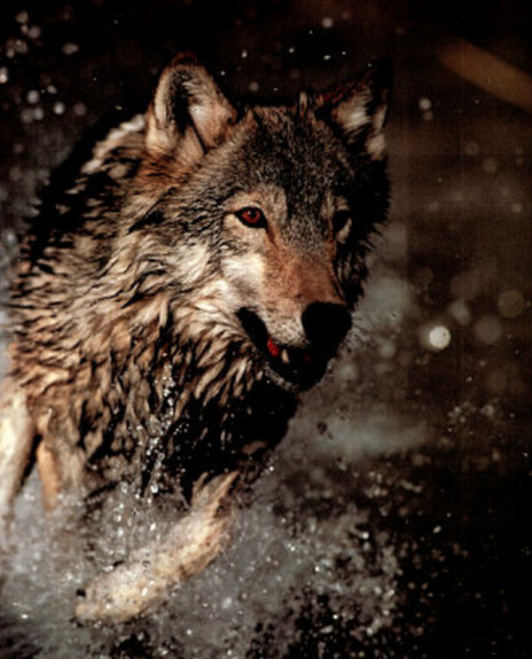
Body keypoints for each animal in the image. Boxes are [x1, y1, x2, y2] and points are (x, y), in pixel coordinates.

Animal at [0, 52, 391, 622]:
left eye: (338, 221)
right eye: (252, 216)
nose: (329, 321)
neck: (178, 359)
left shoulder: (242, 452)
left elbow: (210, 535)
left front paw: (116, 595)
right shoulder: (67, 442)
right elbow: (68, 543)